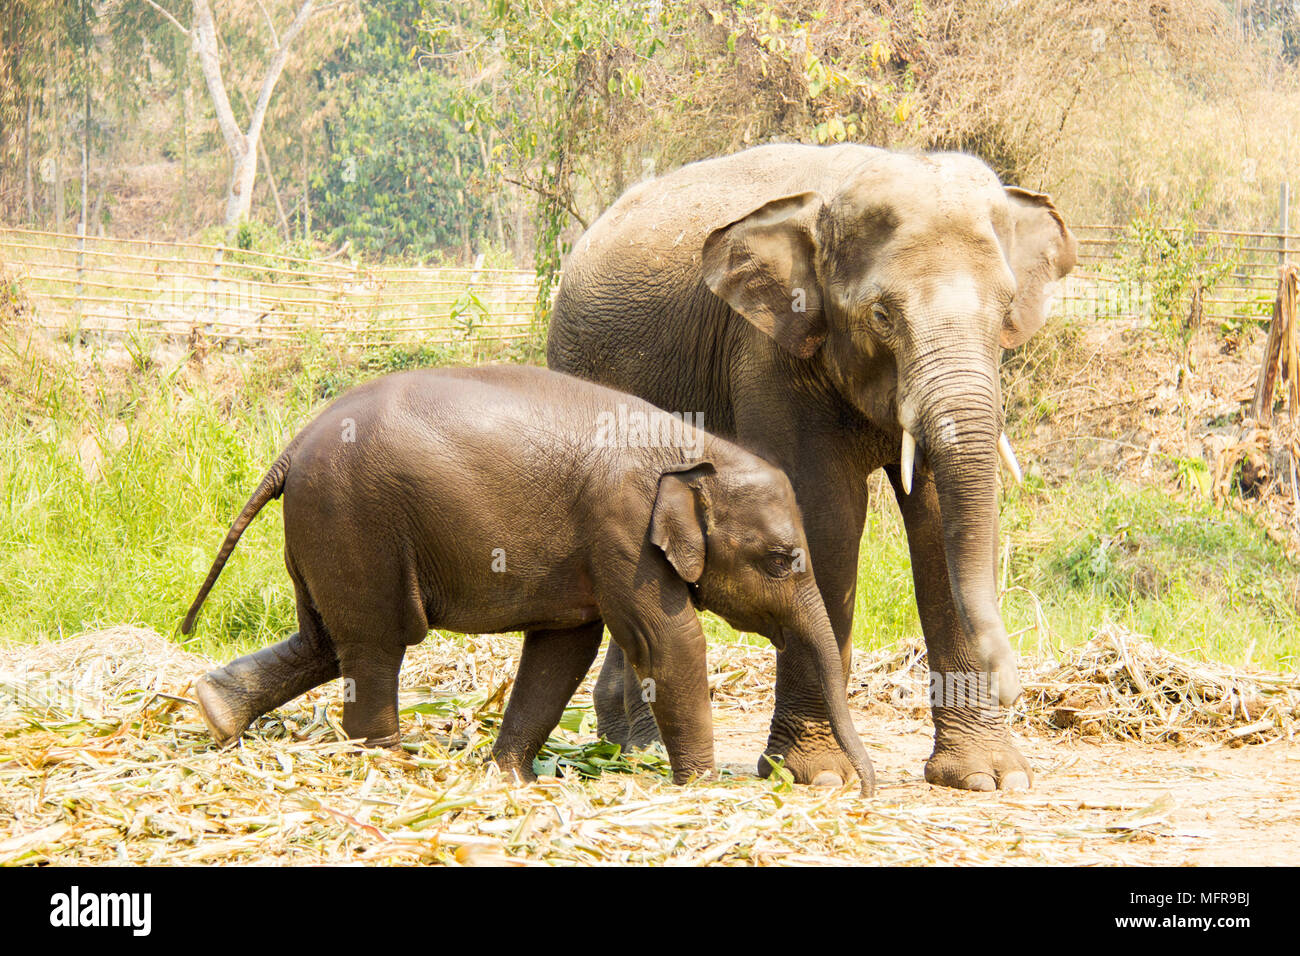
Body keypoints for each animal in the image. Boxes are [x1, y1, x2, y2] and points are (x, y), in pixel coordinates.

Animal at [180, 364, 874, 793]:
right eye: (782, 558)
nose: (860, 788)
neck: (695, 446)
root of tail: (289, 451)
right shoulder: (623, 533)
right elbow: (668, 644)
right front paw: (703, 790)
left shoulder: (596, 549)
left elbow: (564, 647)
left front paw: (511, 779)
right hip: (354, 520)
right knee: (375, 644)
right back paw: (386, 761)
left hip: (327, 530)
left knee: (326, 640)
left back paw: (215, 713)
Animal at [548, 144, 1077, 791]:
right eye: (881, 315)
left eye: (1005, 310)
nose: (1013, 685)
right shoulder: (770, 351)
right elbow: (826, 515)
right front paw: (820, 777)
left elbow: (934, 522)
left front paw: (990, 779)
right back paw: (632, 751)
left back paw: (633, 748)